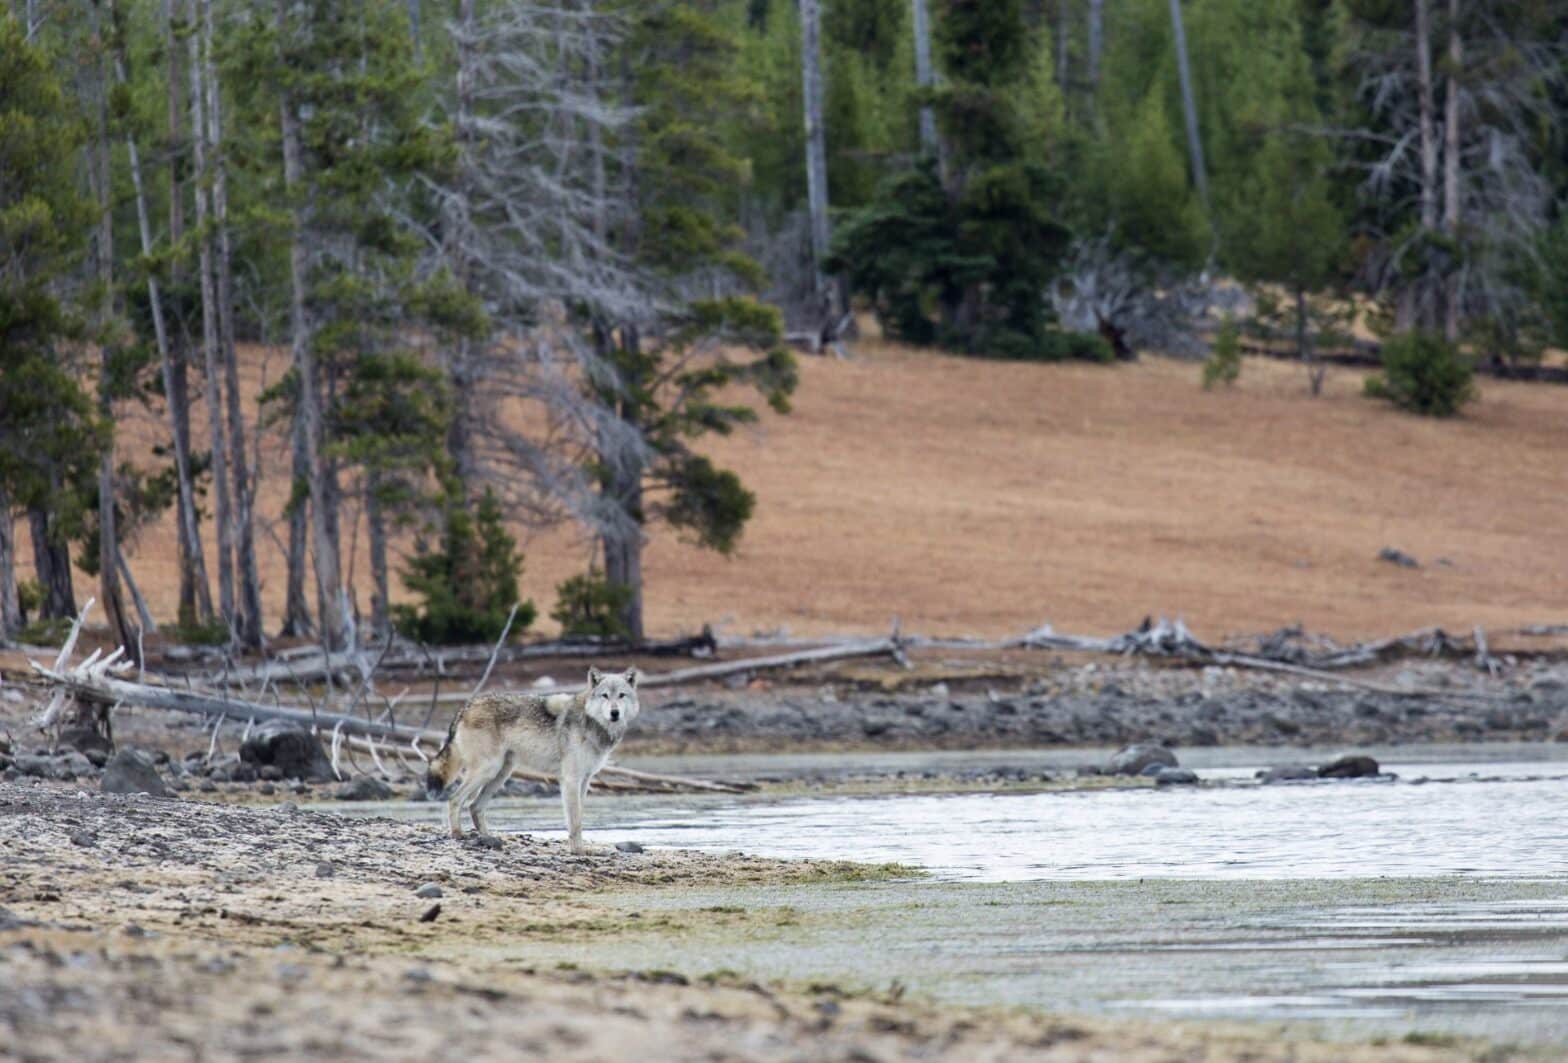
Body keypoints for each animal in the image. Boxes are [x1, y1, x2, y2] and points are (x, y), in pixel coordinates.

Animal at [425, 667, 639, 853]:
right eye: (605, 695)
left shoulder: (585, 780)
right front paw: (578, 851)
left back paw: (489, 838)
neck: (591, 723)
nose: (614, 713)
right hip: (488, 770)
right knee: (454, 799)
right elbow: (575, 821)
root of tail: (465, 706)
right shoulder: (570, 780)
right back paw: (458, 834)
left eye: (621, 695)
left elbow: (579, 817)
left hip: (501, 774)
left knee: (474, 806)